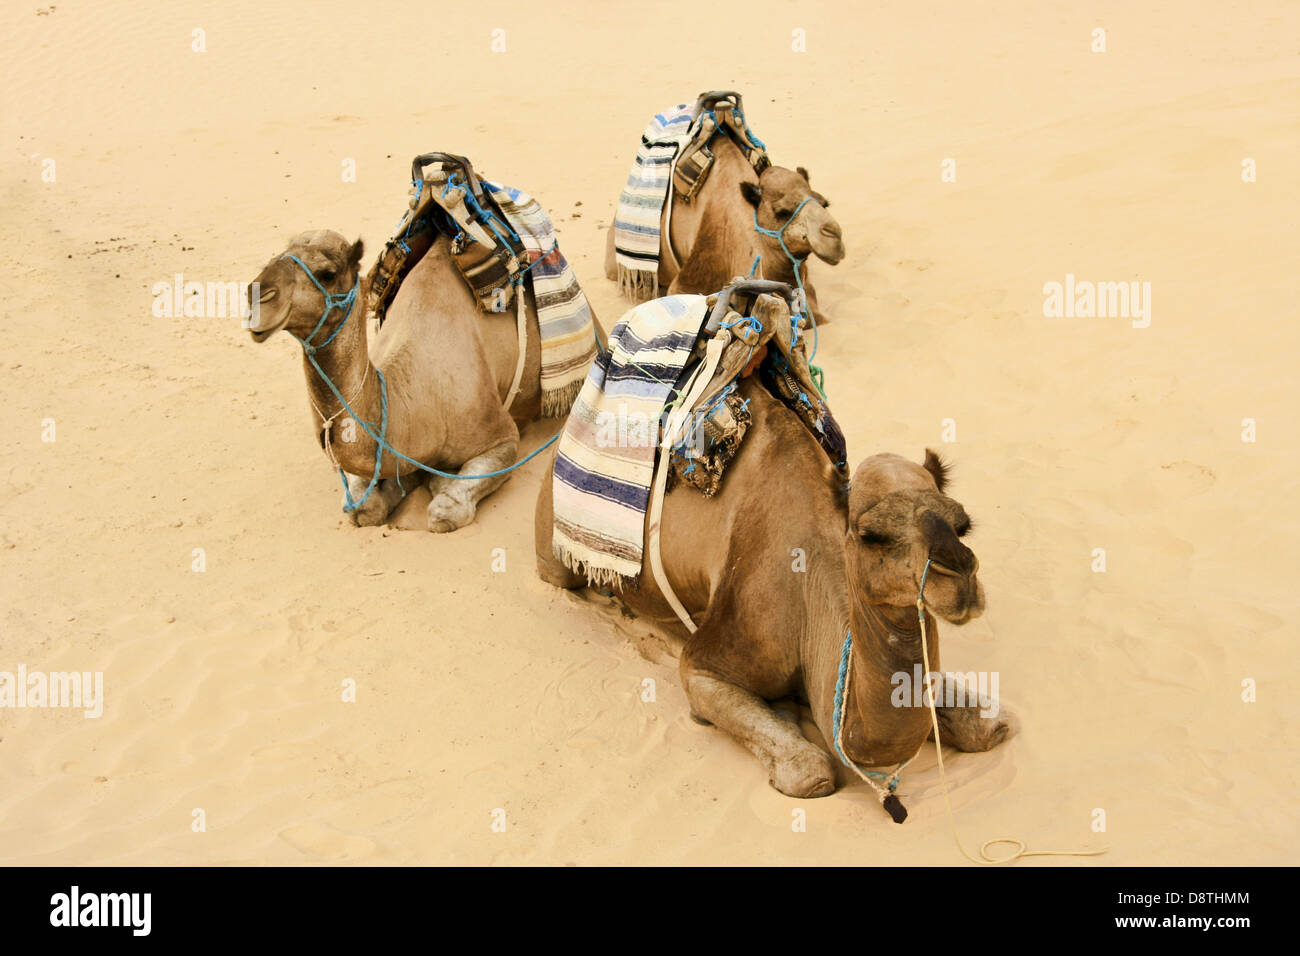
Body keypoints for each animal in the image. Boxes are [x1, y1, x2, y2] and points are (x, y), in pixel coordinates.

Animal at [247, 228, 552, 532]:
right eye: (273, 258)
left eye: (327, 274)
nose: (257, 296)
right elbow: (364, 508)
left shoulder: (502, 437)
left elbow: (444, 513)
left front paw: (436, 480)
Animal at [535, 372, 1014, 800]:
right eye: (871, 534)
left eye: (962, 525)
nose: (959, 577)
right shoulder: (708, 659)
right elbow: (809, 773)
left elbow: (990, 723)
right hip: (553, 545)